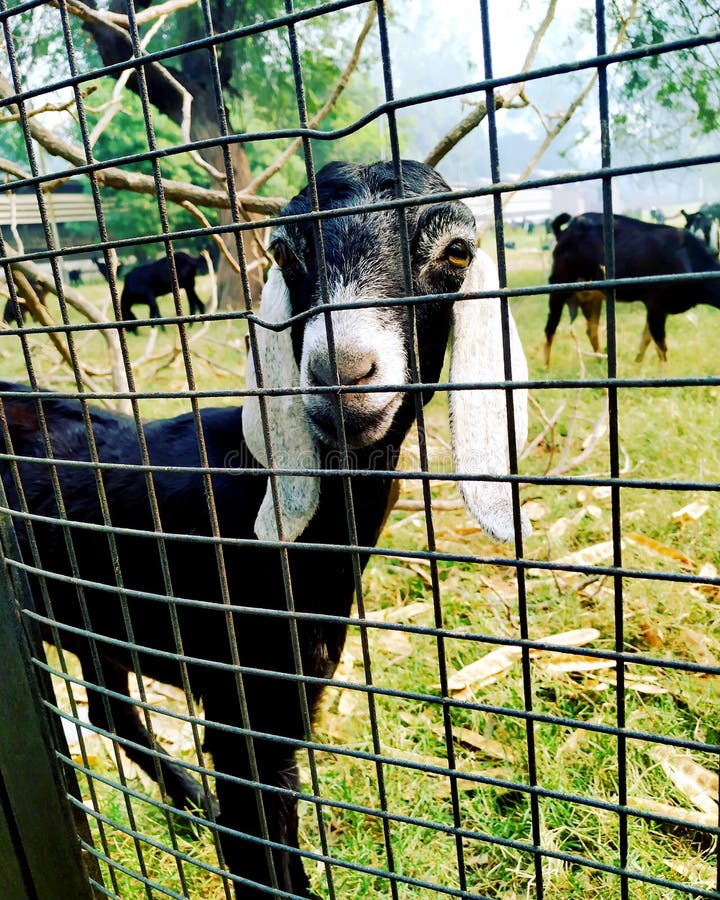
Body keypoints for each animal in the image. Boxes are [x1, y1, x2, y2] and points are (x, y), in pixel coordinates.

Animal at [0, 160, 530, 898]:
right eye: (283, 254)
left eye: (455, 253)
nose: (342, 372)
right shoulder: (242, 701)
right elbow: (257, 853)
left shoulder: (287, 708)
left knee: (110, 708)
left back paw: (190, 805)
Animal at [544, 211, 720, 365]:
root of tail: (564, 232)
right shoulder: (656, 304)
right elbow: (660, 345)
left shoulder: (658, 308)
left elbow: (646, 339)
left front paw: (638, 364)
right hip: (559, 283)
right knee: (550, 327)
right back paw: (547, 367)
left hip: (593, 295)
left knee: (592, 329)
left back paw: (602, 361)